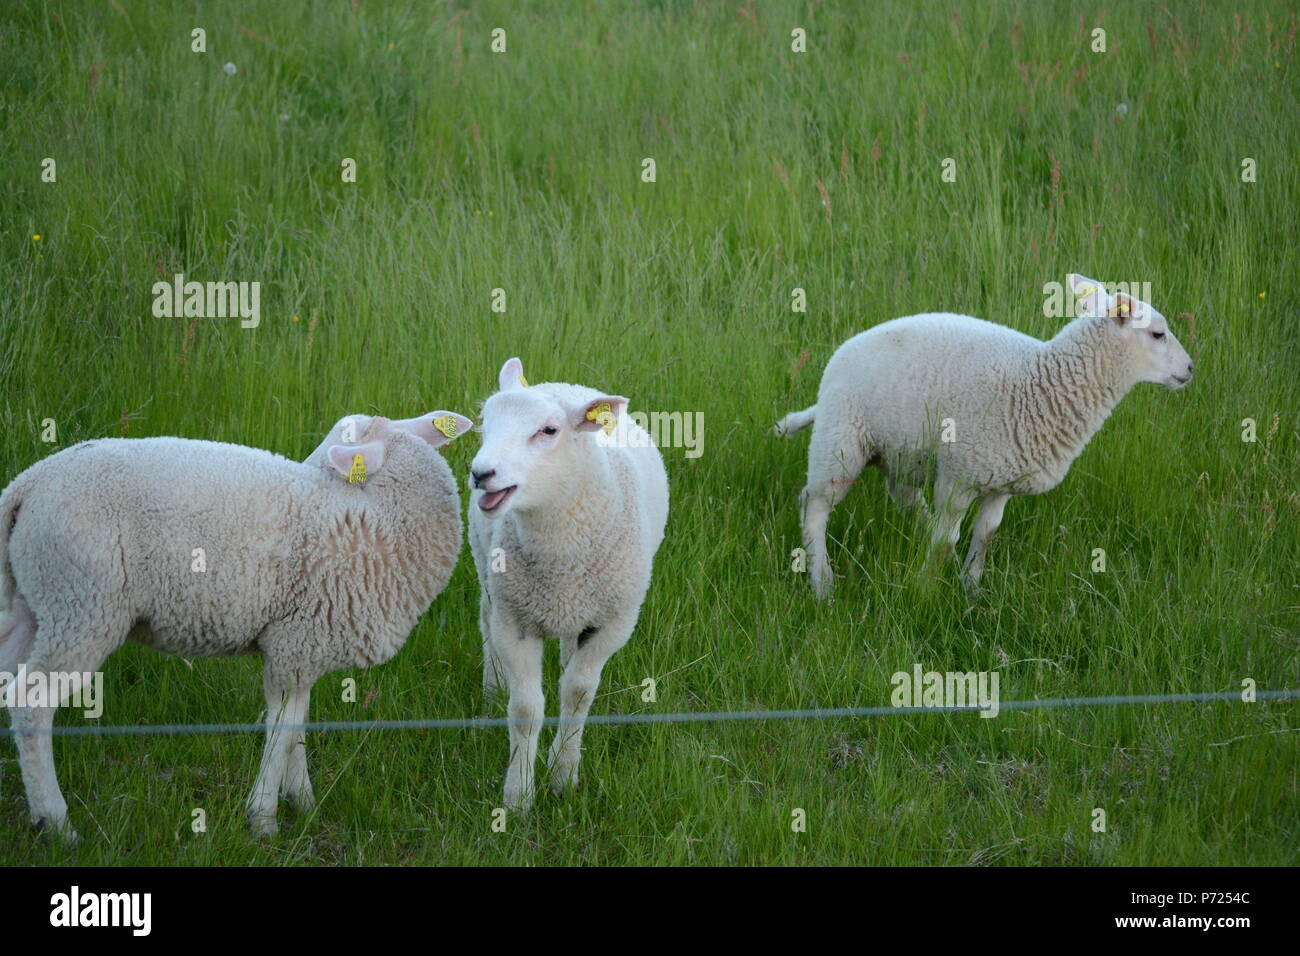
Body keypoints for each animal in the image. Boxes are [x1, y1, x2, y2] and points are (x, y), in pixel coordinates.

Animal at [0, 409, 473, 840]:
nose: (306, 466)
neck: (377, 517)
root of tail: (28, 484)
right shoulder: (296, 643)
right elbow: (281, 733)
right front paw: (263, 819)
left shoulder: (300, 645)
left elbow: (296, 729)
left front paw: (302, 801)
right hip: (81, 605)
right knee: (31, 704)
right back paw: (56, 823)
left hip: (33, 606)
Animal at [468, 357, 669, 812]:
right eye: (485, 423)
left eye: (548, 430)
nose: (481, 474)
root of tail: (565, 384)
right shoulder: (515, 620)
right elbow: (525, 710)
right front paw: (519, 796)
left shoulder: (613, 623)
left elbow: (577, 694)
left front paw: (563, 775)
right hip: (486, 569)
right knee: (485, 621)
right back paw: (492, 690)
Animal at [776, 274, 1194, 598]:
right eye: (1157, 334)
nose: (1191, 368)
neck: (1041, 386)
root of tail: (832, 369)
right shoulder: (959, 475)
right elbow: (945, 541)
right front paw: (925, 589)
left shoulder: (1001, 482)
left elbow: (984, 536)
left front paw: (971, 591)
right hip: (841, 441)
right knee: (814, 505)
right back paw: (822, 583)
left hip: (898, 450)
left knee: (903, 495)